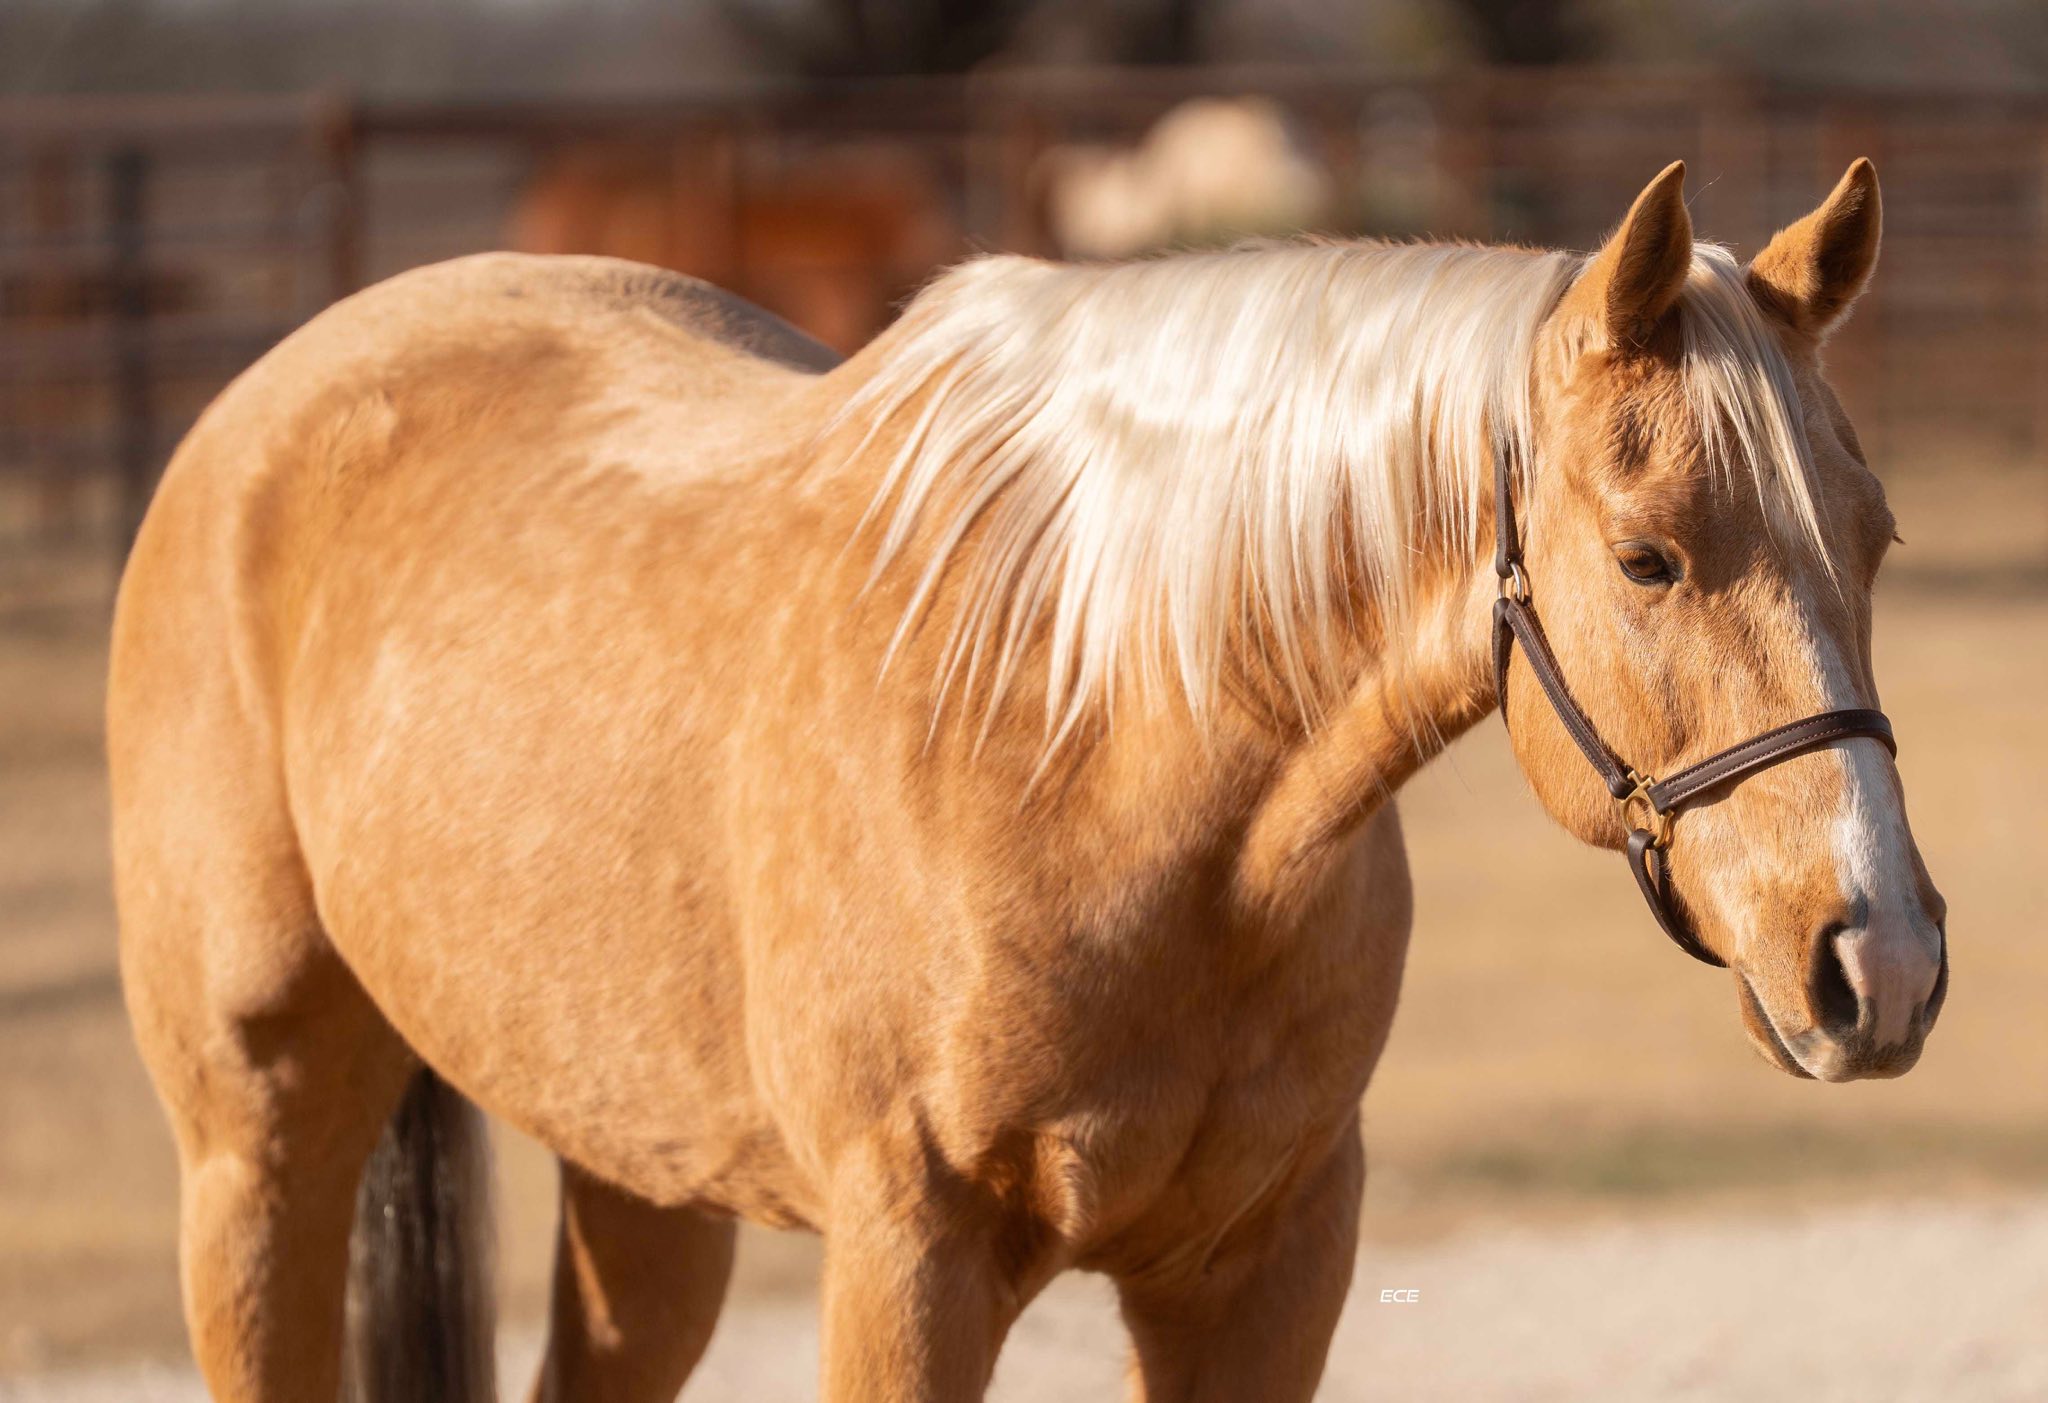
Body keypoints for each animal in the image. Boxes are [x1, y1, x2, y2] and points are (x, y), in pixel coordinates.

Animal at [109, 159, 1946, 1402]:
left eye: (1873, 540)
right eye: (1647, 558)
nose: (1880, 961)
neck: (1101, 744)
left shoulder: (1261, 1267)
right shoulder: (908, 1262)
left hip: (638, 1172)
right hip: (254, 1140)